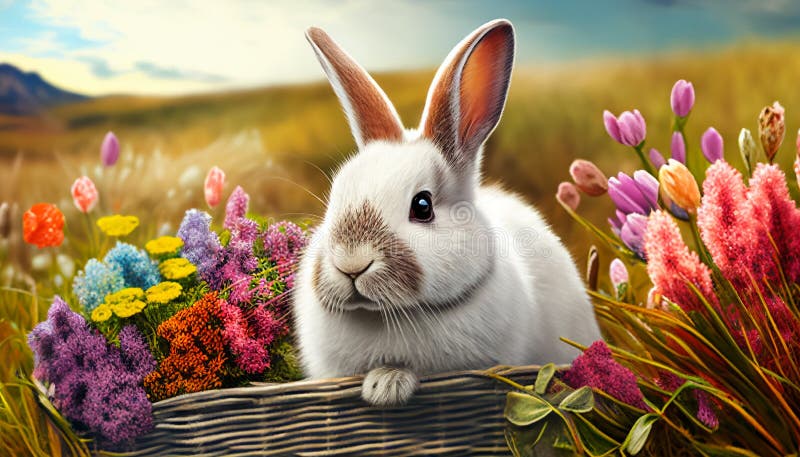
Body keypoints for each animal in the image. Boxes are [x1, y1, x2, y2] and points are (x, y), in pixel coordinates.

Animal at [293, 18, 602, 407]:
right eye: (334, 199)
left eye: (422, 206)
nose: (351, 264)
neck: (386, 315)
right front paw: (382, 385)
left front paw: (387, 385)